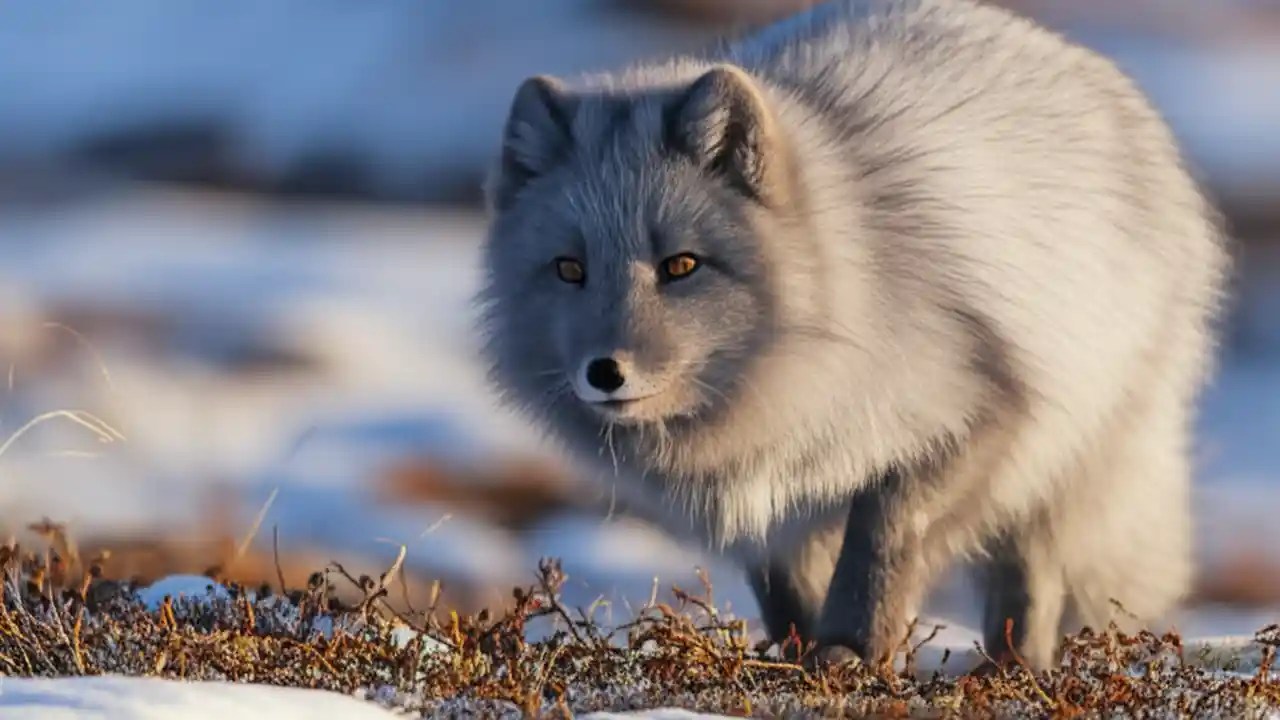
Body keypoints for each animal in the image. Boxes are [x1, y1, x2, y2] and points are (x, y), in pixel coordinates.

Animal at [476, 0, 1229, 670]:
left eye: (681, 265)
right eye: (569, 269)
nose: (605, 371)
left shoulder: (981, 412)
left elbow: (883, 537)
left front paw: (852, 647)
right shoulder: (767, 493)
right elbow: (784, 584)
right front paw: (800, 651)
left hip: (1069, 452)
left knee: (1034, 574)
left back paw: (1014, 669)